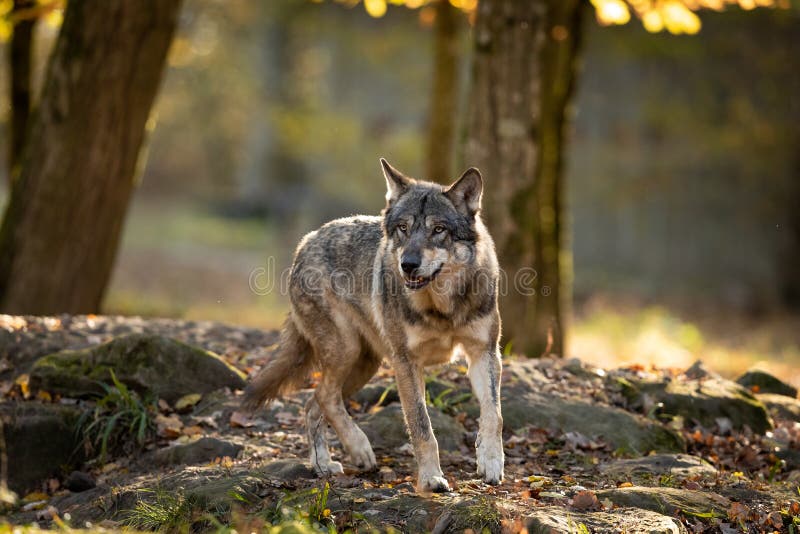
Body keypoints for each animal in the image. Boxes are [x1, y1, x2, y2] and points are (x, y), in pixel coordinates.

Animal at [242, 159, 504, 492]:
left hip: (366, 364)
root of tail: (307, 239)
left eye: (438, 230)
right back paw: (359, 449)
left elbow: (493, 415)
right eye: (403, 228)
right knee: (324, 397)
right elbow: (422, 427)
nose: (408, 264)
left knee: (313, 403)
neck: (442, 310)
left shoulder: (484, 353)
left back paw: (323, 465)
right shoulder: (406, 363)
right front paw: (431, 478)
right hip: (348, 352)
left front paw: (491, 463)